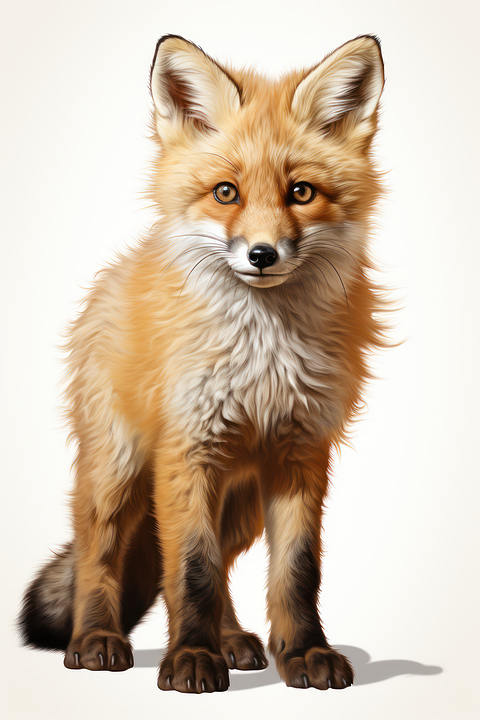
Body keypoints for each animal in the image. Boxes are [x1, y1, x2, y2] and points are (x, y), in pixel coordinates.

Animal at [20, 34, 389, 693]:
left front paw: (303, 652)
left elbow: (296, 571)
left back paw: (232, 640)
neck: (263, 356)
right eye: (225, 193)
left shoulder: (300, 453)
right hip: (118, 475)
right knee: (102, 553)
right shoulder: (188, 449)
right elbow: (191, 568)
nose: (263, 254)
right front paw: (190, 659)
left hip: (239, 504)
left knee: (211, 565)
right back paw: (96, 639)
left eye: (301, 192)